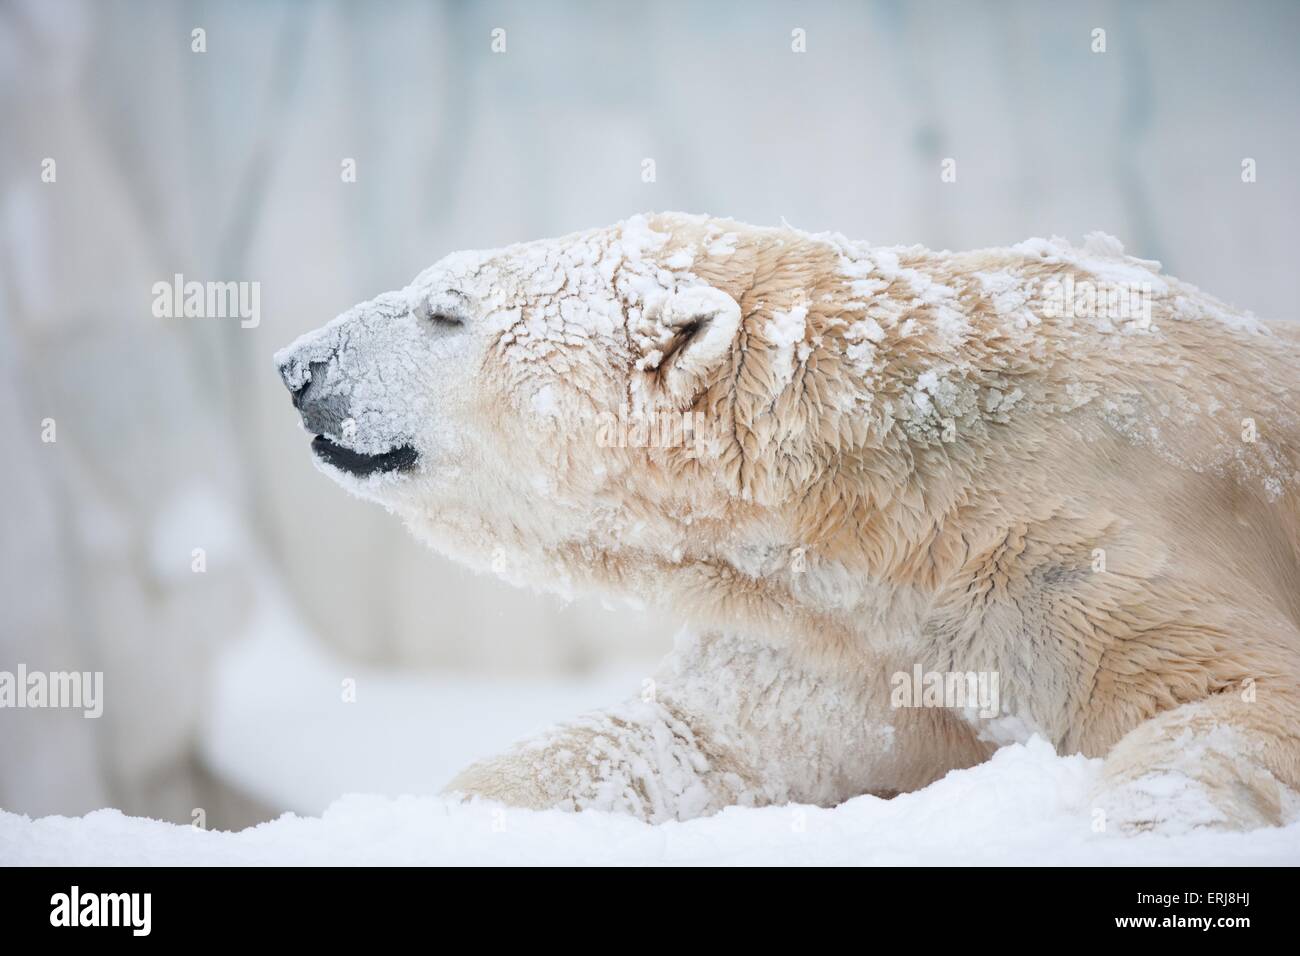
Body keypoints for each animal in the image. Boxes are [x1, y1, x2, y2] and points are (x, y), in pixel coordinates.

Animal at [276, 213, 1300, 832]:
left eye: (445, 312)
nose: (296, 365)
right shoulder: (838, 629)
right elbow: (697, 741)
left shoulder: (1086, 551)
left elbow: (1233, 701)